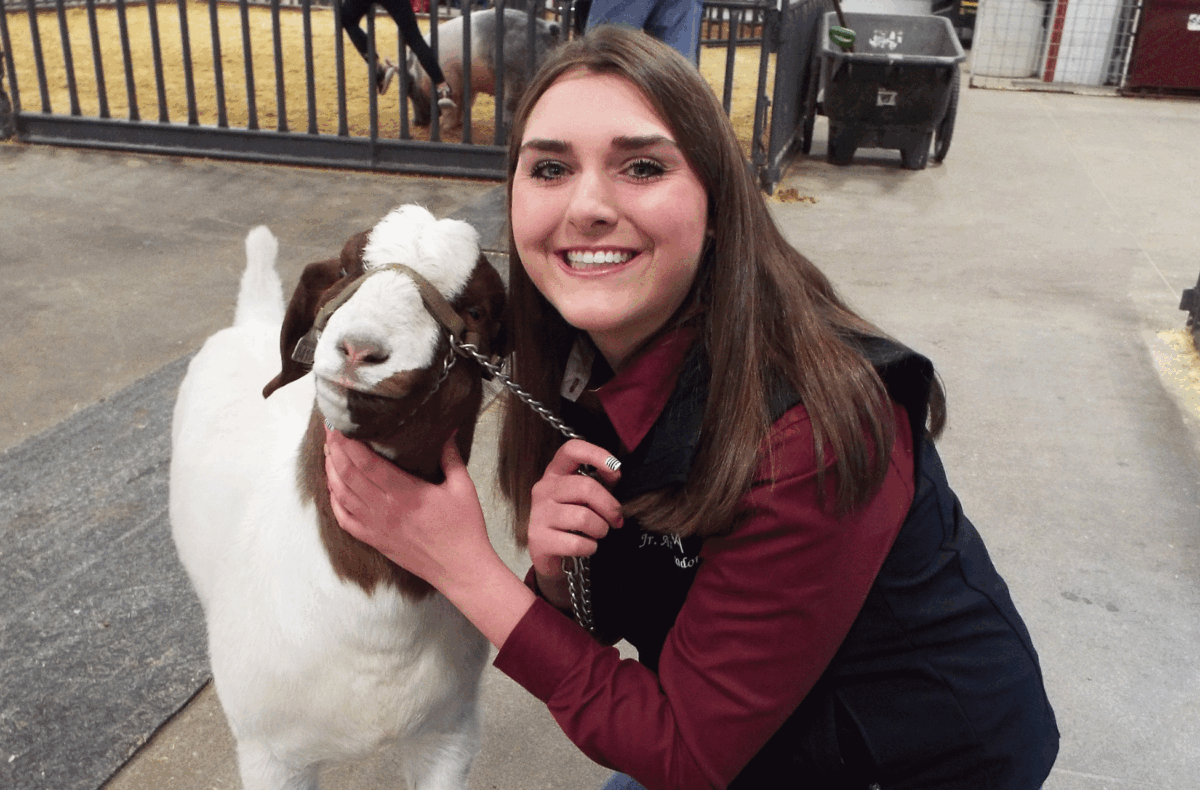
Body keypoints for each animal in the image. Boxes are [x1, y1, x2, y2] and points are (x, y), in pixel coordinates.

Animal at [169, 205, 504, 790]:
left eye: (476, 309)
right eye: (347, 269)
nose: (360, 350)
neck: (374, 626)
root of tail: (252, 318)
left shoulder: (450, 735)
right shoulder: (270, 756)